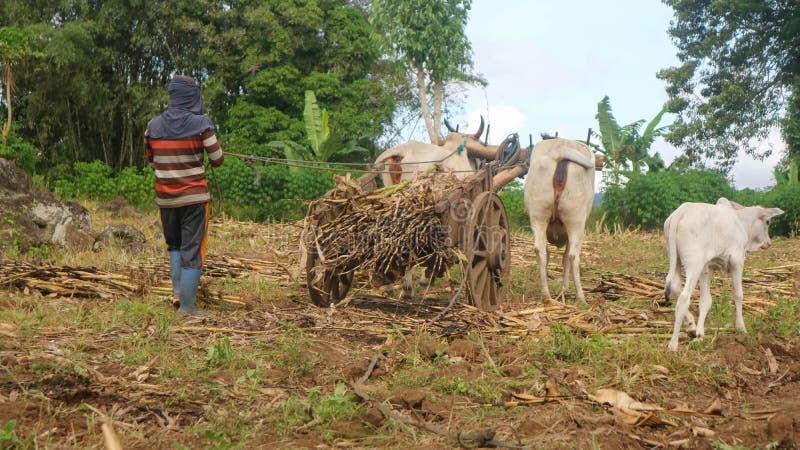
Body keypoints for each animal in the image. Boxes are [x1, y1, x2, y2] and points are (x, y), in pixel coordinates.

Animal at [524, 138, 597, 302]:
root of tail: (560, 149)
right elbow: (565, 258)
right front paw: (566, 290)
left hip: (538, 216)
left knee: (540, 251)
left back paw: (546, 294)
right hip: (576, 222)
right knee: (573, 256)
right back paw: (580, 297)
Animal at [664, 198, 784, 351]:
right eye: (767, 222)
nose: (768, 243)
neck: (741, 222)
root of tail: (681, 212)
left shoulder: (707, 268)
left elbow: (706, 300)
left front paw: (700, 334)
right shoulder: (737, 261)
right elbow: (738, 295)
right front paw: (741, 328)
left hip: (676, 259)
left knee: (674, 287)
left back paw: (691, 325)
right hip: (694, 264)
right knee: (684, 298)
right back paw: (673, 344)